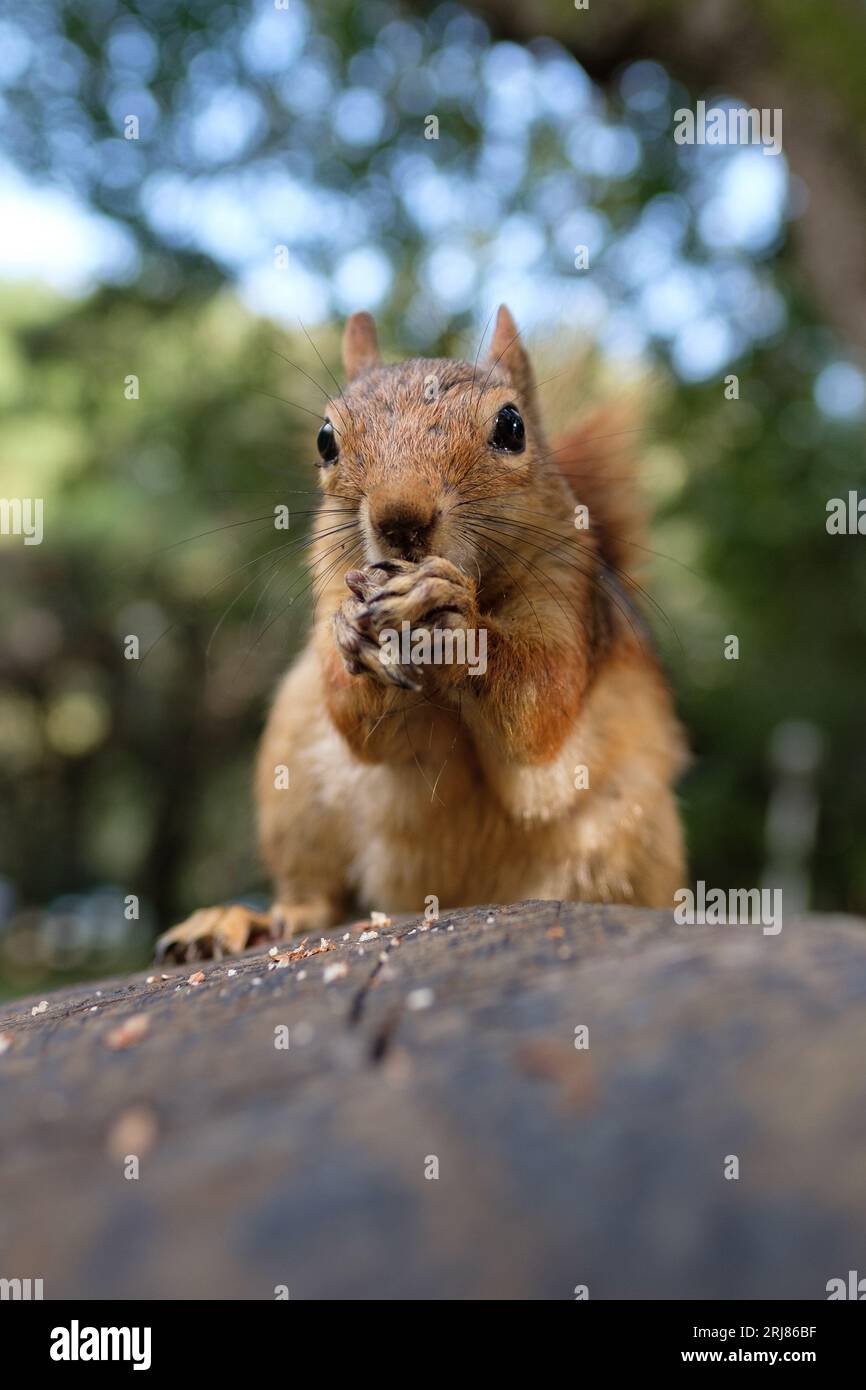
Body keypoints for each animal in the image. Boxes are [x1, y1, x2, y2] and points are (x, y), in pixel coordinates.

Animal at [156, 306, 687, 961]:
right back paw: (239, 921)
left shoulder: (568, 599)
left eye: (512, 426)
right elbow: (356, 718)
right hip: (296, 787)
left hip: (633, 828)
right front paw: (354, 636)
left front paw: (452, 619)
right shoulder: (332, 585)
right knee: (317, 899)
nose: (400, 518)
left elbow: (538, 710)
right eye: (325, 439)